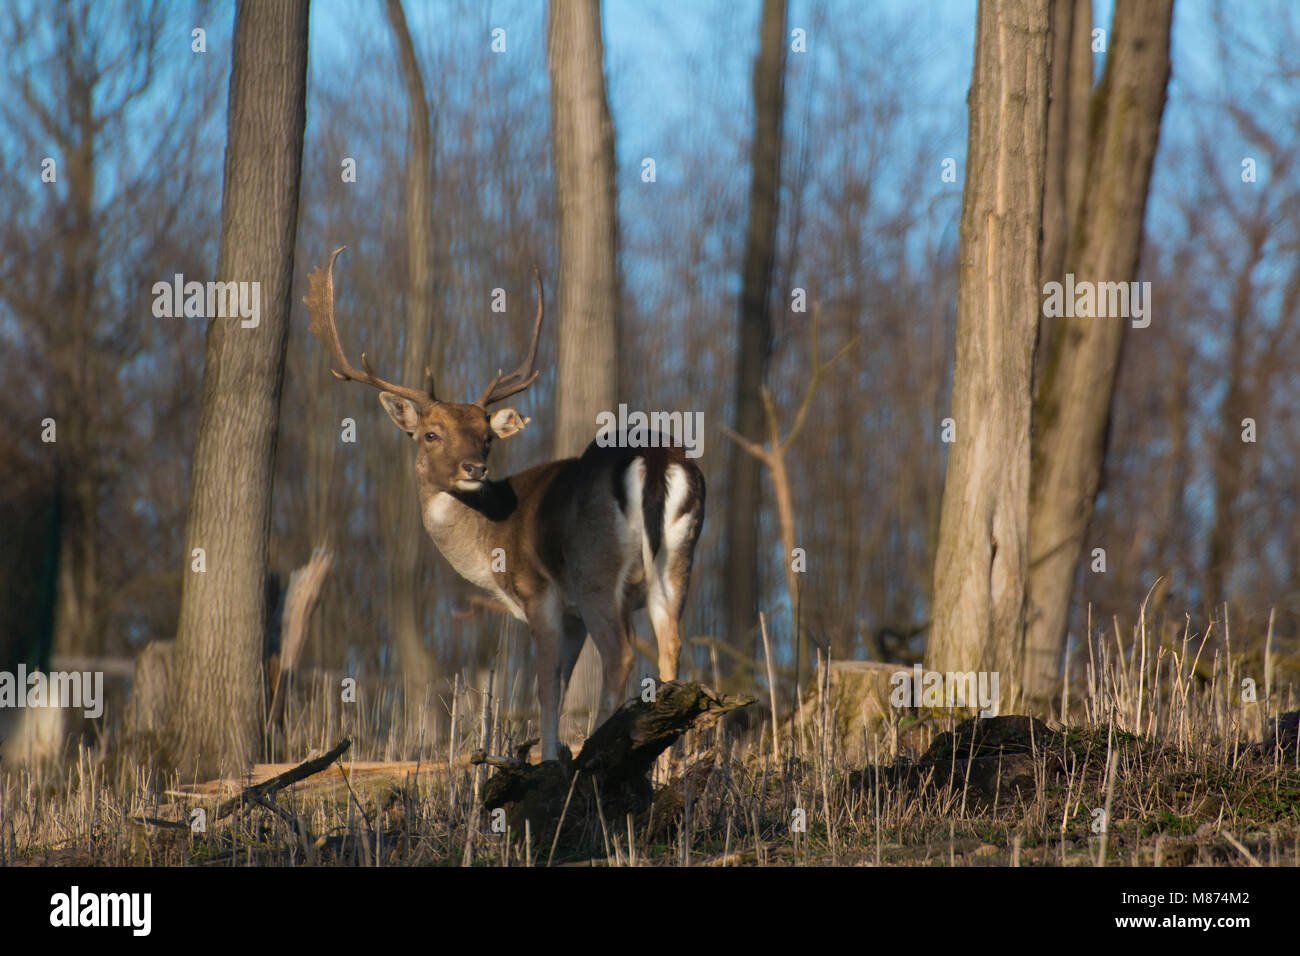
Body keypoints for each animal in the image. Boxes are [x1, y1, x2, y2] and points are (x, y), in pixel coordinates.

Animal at [303, 247, 705, 761]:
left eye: (487, 437)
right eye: (431, 433)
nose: (474, 467)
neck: (488, 541)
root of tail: (654, 461)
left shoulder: (539, 592)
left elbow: (547, 687)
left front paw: (551, 762)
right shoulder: (569, 613)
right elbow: (560, 685)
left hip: (596, 571)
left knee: (622, 656)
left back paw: (600, 753)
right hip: (678, 562)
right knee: (673, 650)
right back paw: (666, 763)